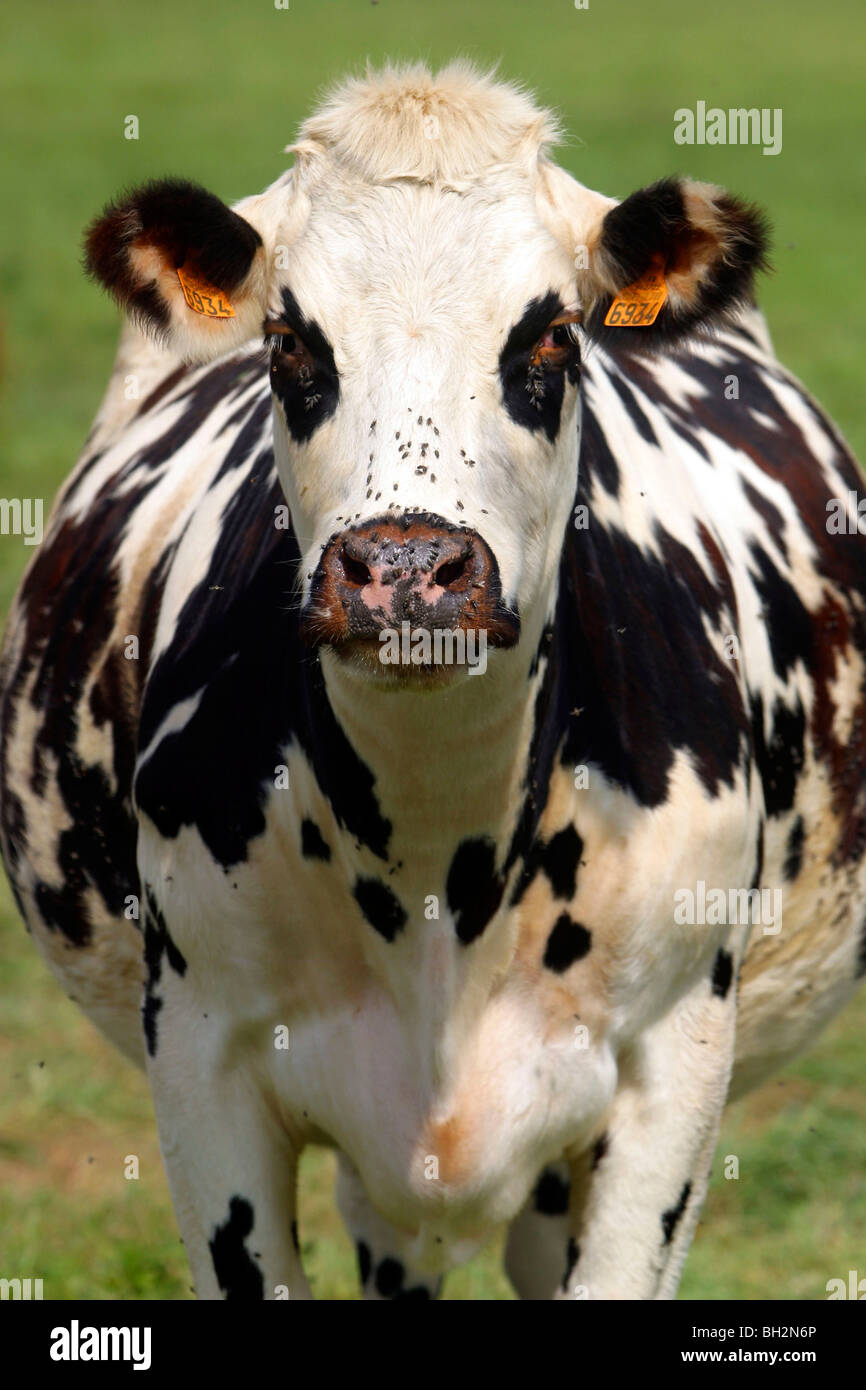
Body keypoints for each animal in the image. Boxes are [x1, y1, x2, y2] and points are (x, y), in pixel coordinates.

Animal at [1, 61, 864, 1301]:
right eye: (289, 340)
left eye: (550, 335)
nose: (406, 569)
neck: (433, 860)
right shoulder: (203, 1058)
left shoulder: (671, 1067)